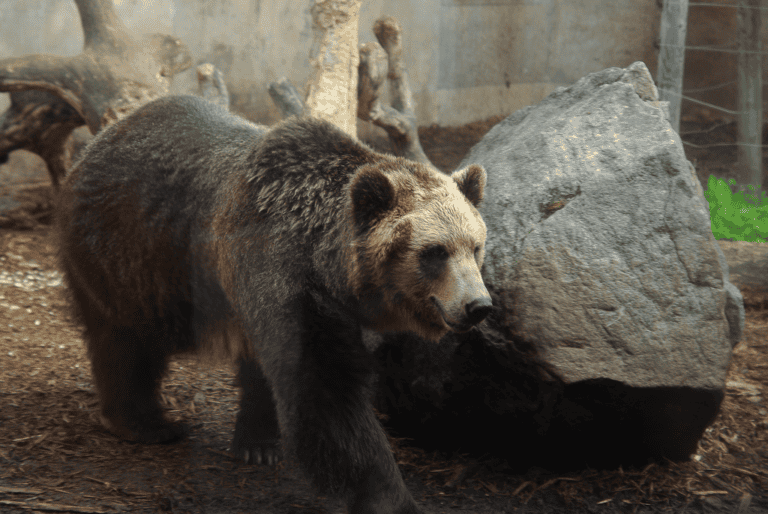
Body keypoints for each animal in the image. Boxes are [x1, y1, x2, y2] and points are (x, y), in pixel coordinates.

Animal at [56, 95, 492, 513]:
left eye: (475, 246)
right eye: (434, 252)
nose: (477, 305)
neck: (328, 265)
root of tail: (101, 139)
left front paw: (261, 443)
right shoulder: (280, 272)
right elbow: (323, 392)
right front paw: (389, 495)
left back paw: (254, 439)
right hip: (129, 254)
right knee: (125, 341)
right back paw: (144, 423)